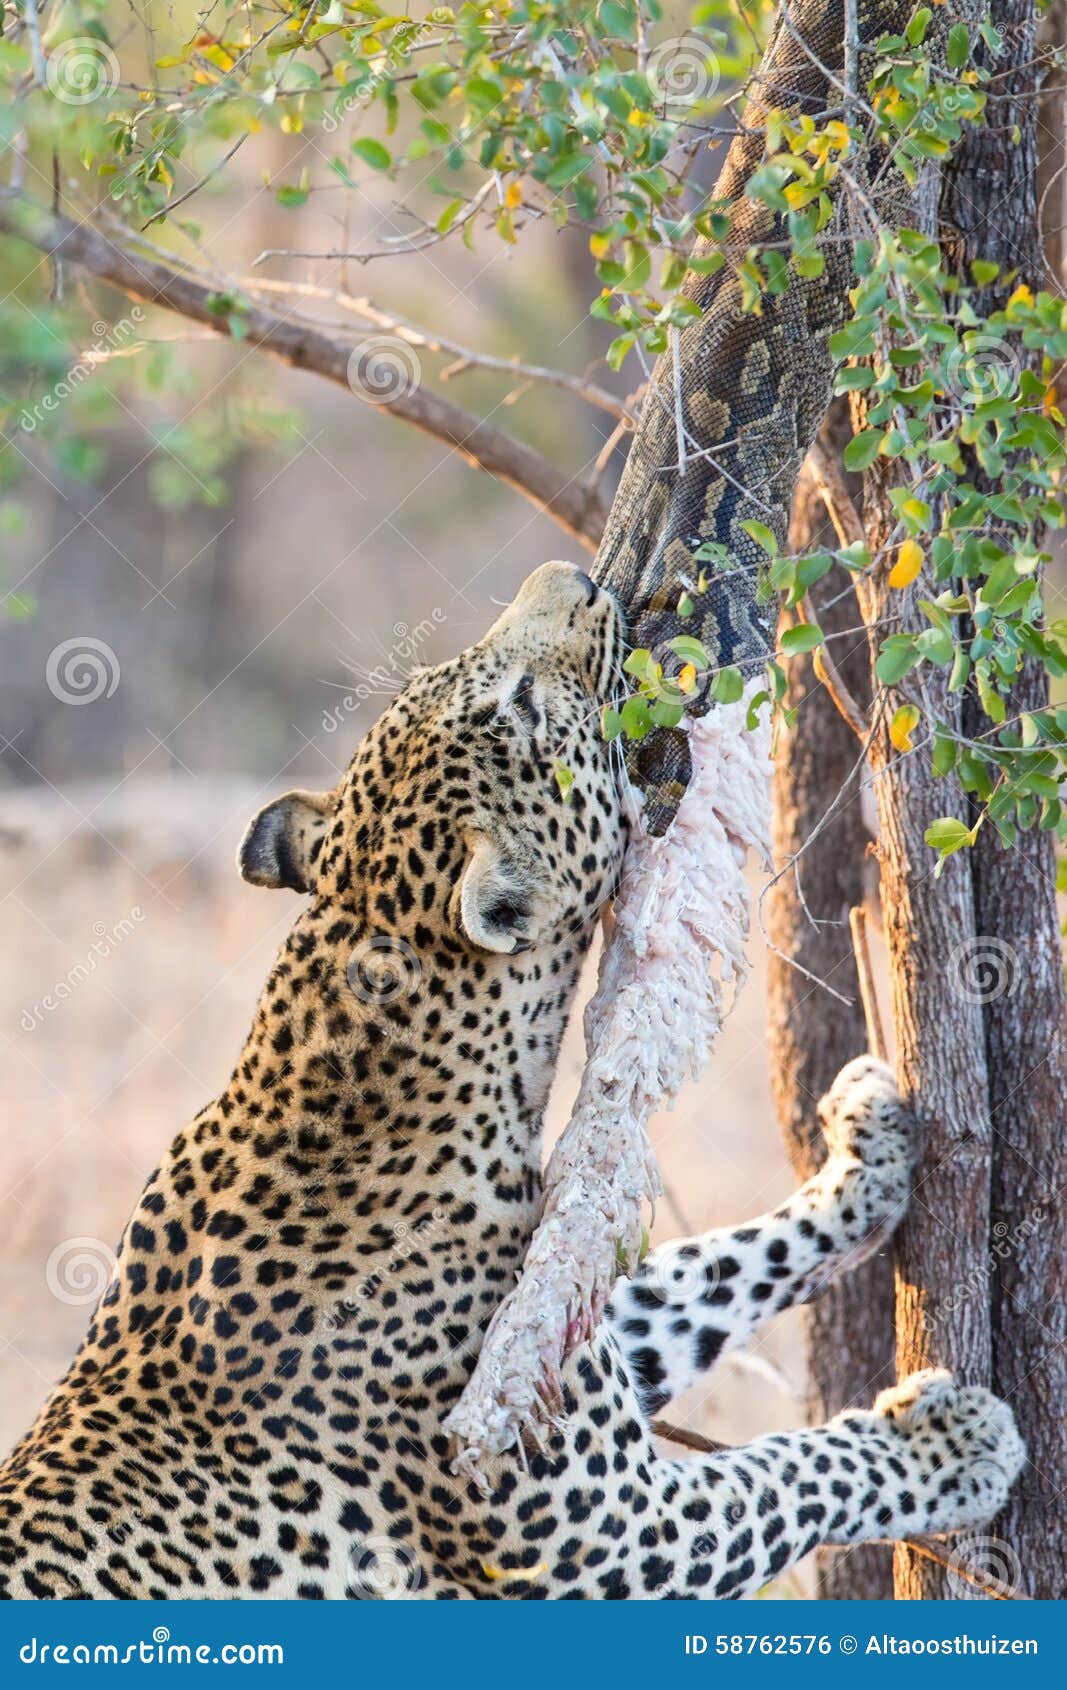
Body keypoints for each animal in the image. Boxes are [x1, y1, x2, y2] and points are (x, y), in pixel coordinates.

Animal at [0, 560, 1024, 1600]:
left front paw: (865, 1157)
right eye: (518, 704)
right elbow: (786, 1480)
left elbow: (713, 1267)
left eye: (445, 678)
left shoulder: (545, 1336)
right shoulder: (607, 1537)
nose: (566, 574)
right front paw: (945, 1446)